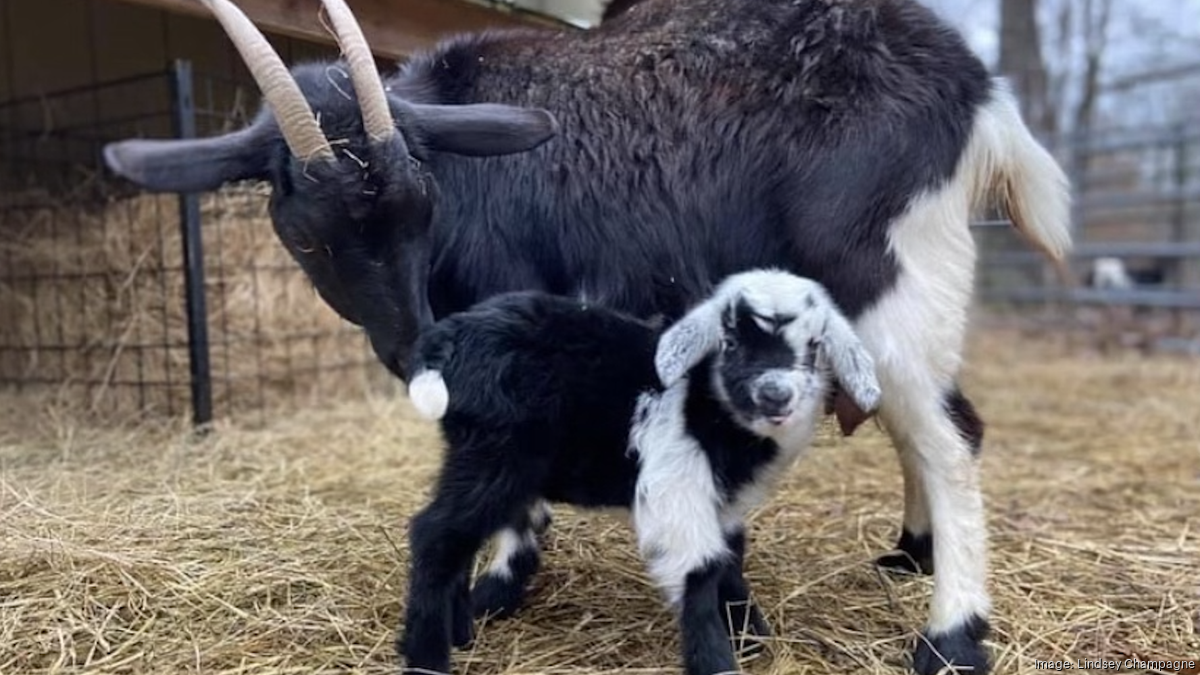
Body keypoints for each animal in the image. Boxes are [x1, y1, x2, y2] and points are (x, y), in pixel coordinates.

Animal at [400, 269, 881, 675]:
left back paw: (460, 635)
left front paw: (752, 637)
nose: (775, 395)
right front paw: (717, 663)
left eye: (814, 345)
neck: (710, 409)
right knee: (435, 535)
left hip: (477, 456)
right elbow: (700, 572)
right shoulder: (677, 487)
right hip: (498, 456)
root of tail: (451, 337)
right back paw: (427, 658)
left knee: (459, 540)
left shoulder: (721, 506)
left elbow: (731, 563)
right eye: (730, 342)